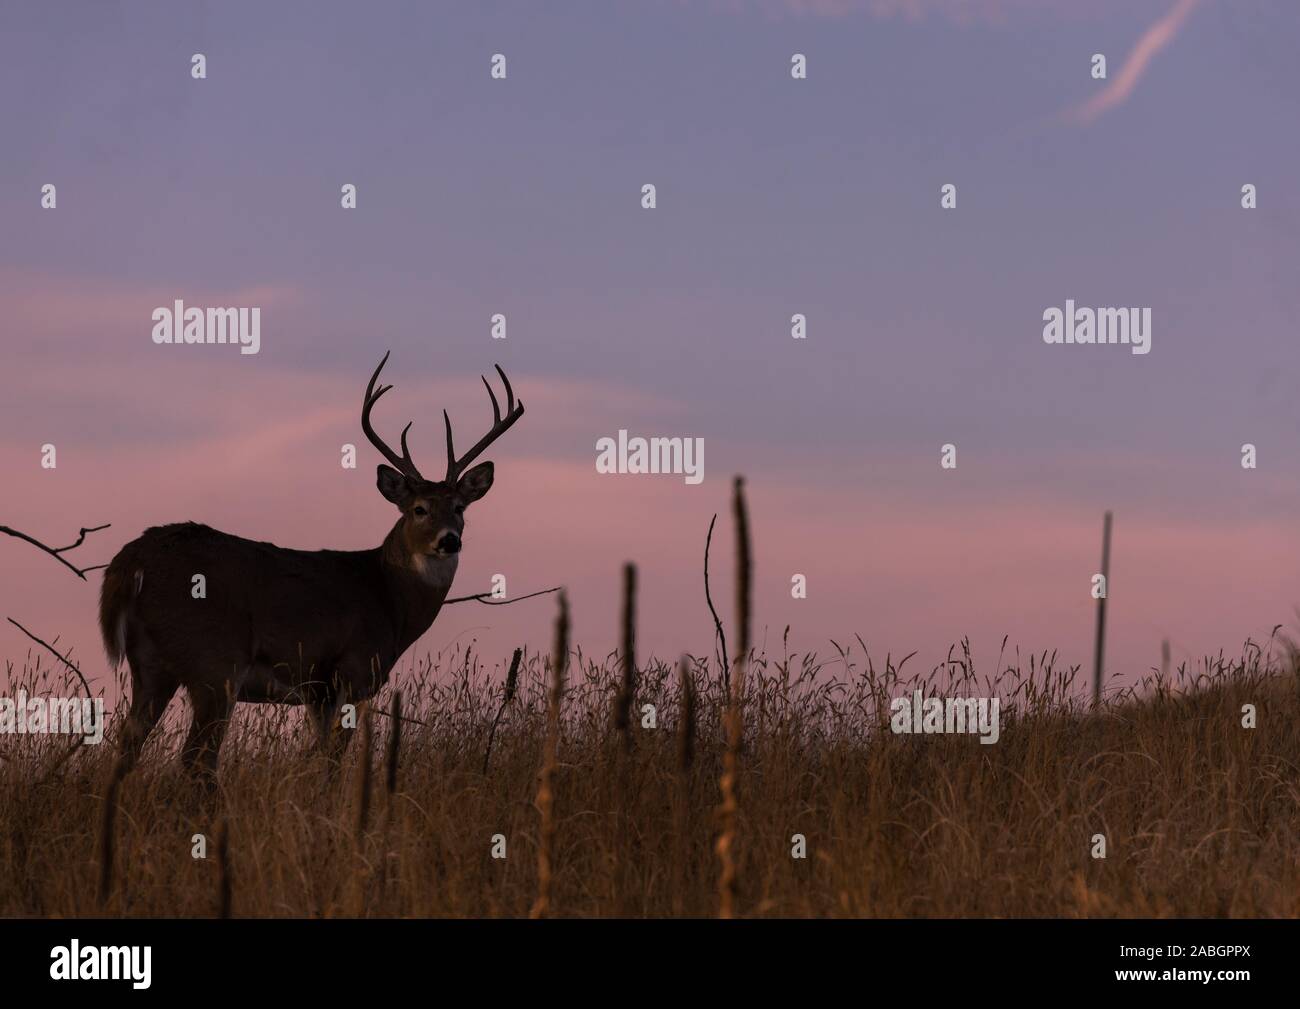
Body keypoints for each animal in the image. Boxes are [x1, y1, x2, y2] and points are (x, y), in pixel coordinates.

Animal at [97, 352, 524, 777]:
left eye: (459, 508)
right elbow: (332, 761)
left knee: (127, 746)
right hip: (215, 662)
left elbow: (319, 756)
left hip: (150, 666)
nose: (449, 539)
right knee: (195, 757)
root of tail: (131, 559)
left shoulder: (318, 693)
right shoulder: (352, 669)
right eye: (418, 509)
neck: (390, 599)